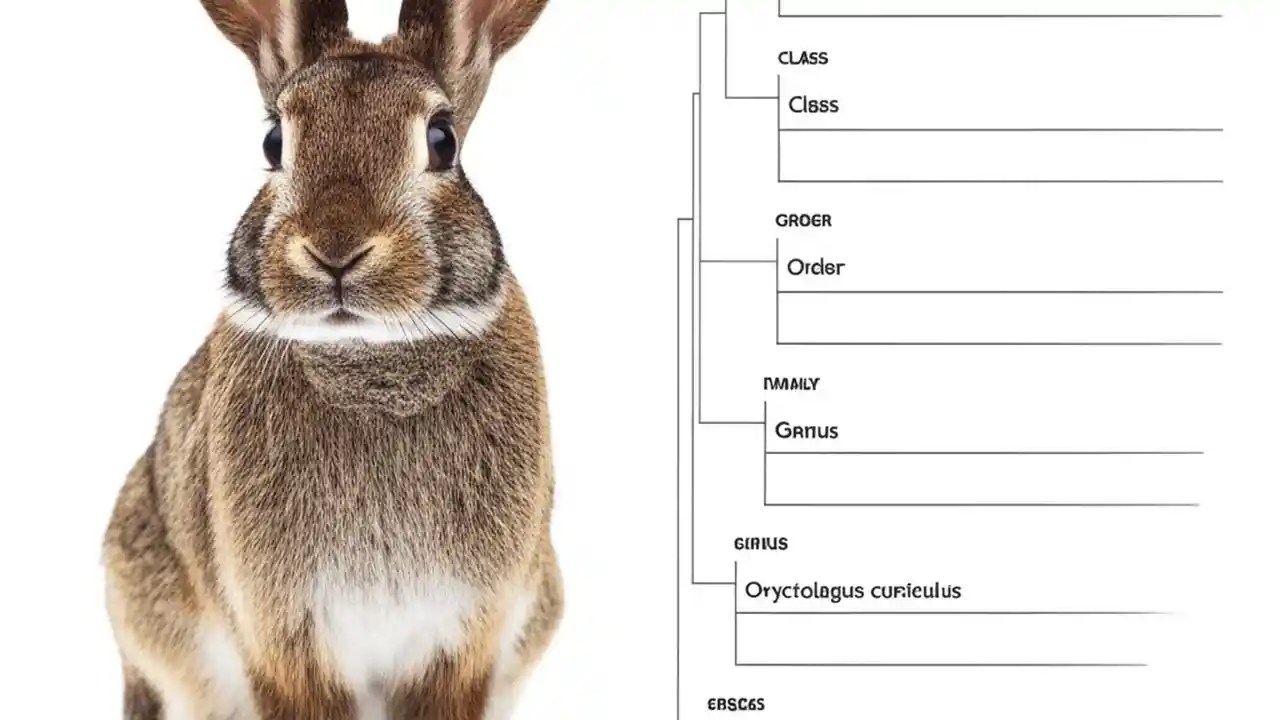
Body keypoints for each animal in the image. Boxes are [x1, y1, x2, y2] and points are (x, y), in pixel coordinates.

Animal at [102, 1, 561, 718]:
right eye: (273, 143)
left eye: (442, 140)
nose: (336, 248)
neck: (369, 355)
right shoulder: (285, 640)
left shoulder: (463, 638)